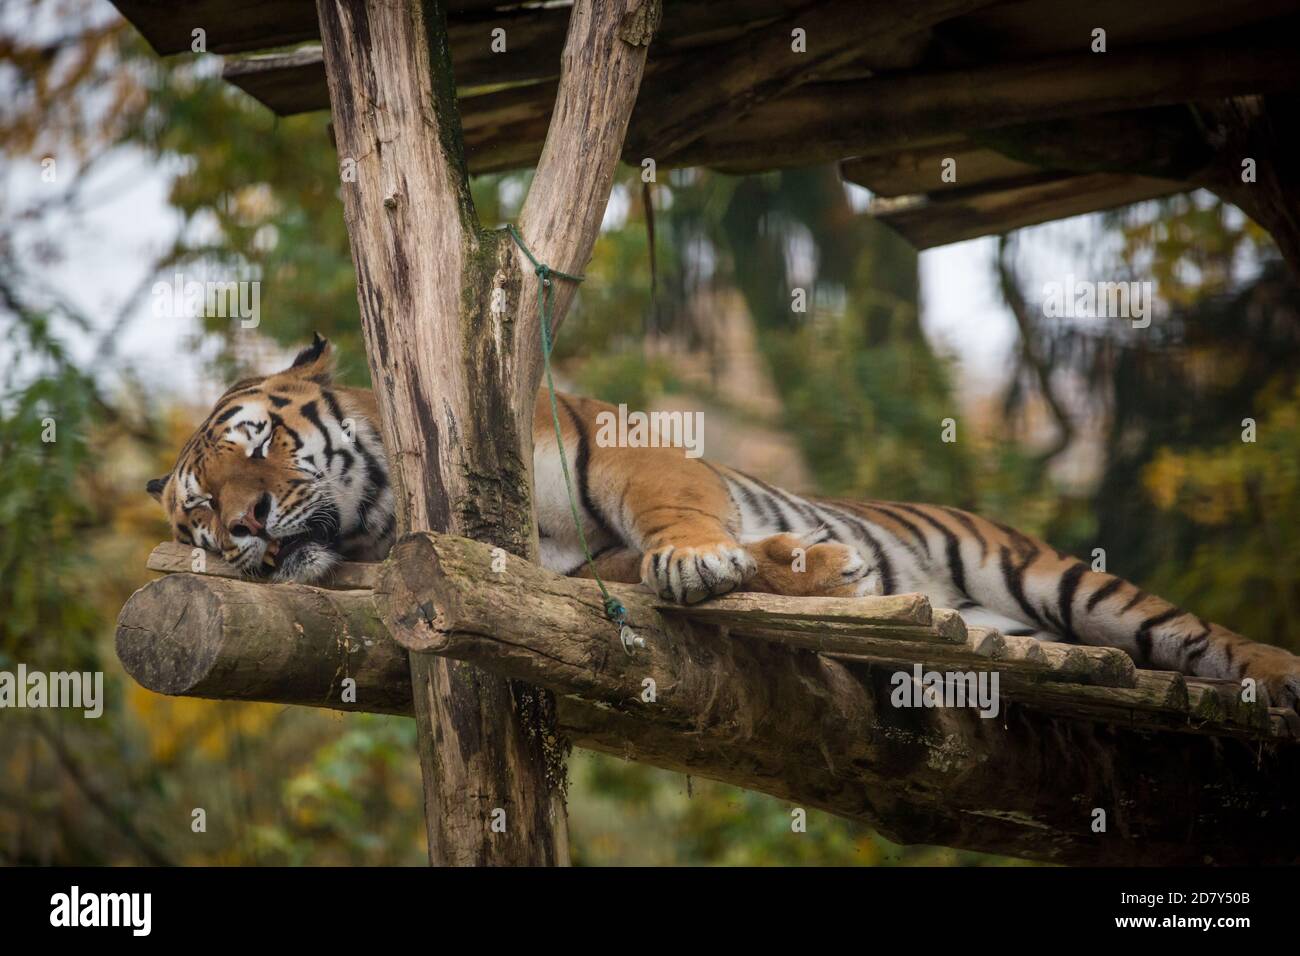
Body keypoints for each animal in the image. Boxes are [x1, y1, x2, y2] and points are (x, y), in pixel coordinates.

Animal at [149, 335, 1300, 710]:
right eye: (199, 507)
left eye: (257, 440)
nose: (245, 527)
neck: (389, 506)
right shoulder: (555, 565)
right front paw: (809, 567)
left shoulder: (629, 448)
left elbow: (674, 518)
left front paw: (714, 561)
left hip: (1062, 581)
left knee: (1197, 635)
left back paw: (1275, 671)